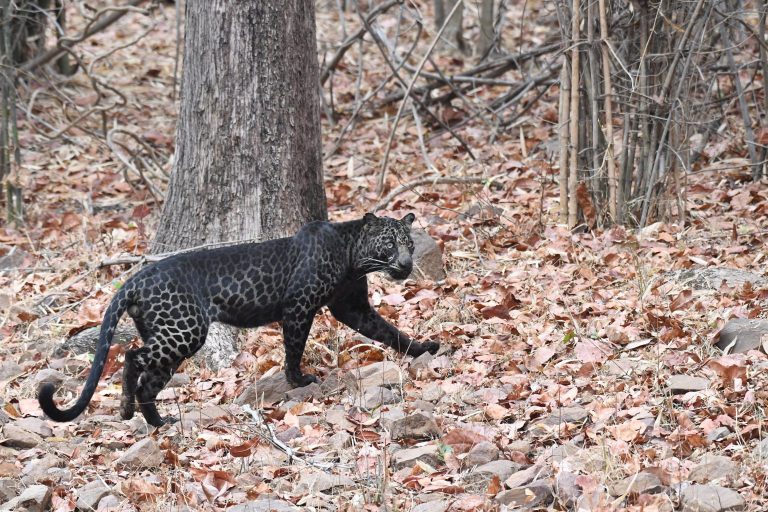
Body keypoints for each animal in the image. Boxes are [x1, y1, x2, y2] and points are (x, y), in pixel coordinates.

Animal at [39, 213, 439, 427]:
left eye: (409, 243)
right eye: (389, 243)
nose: (406, 264)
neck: (352, 256)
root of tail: (136, 279)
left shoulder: (352, 307)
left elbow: (388, 331)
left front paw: (422, 347)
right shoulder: (299, 306)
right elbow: (294, 347)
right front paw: (299, 380)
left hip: (170, 333)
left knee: (146, 376)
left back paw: (151, 419)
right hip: (185, 330)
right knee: (133, 356)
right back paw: (134, 411)